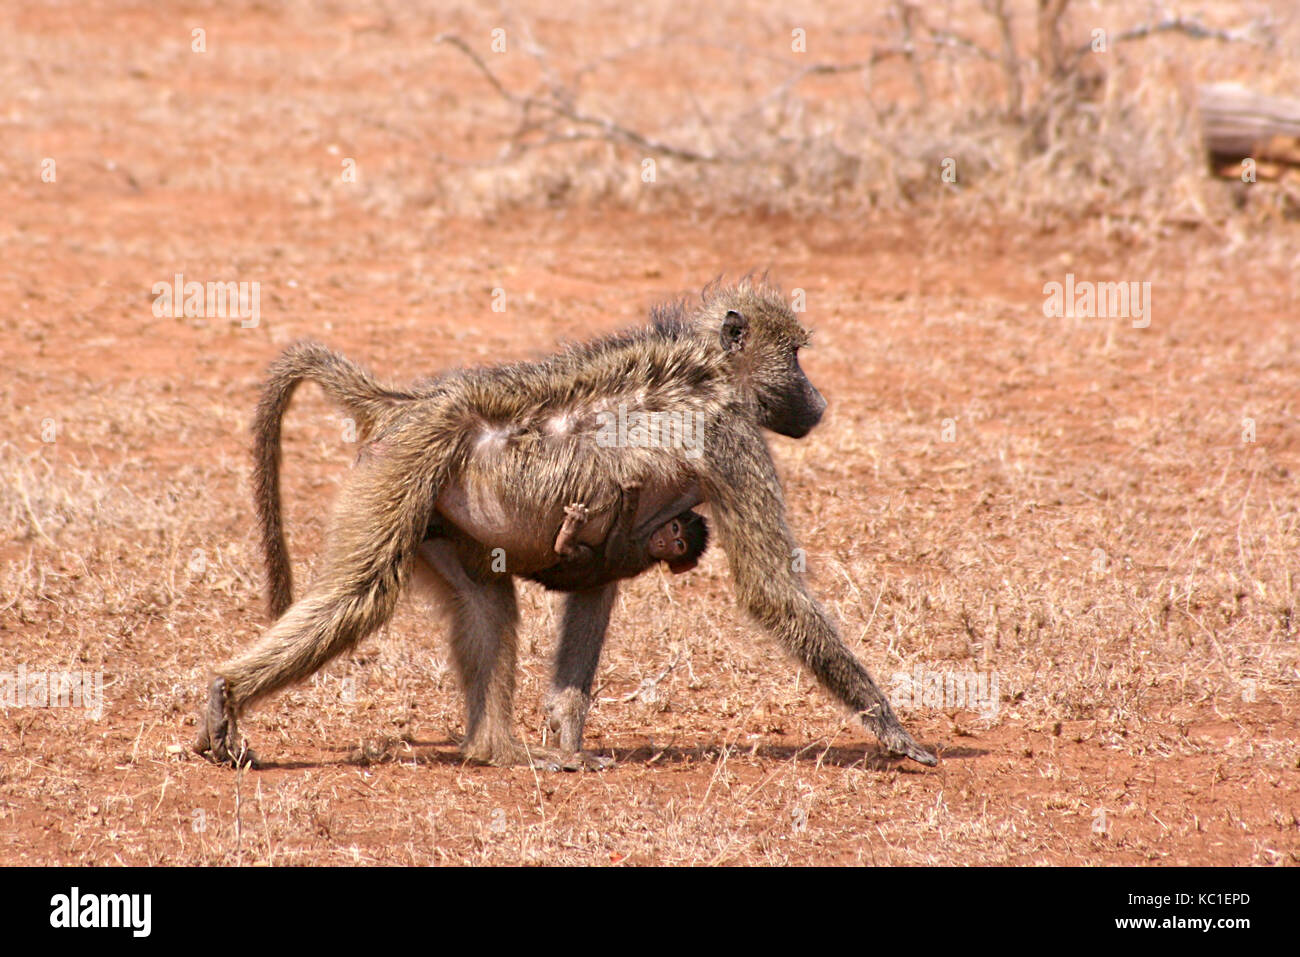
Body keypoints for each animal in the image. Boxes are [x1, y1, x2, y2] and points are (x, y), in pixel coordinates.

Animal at [194, 279, 937, 770]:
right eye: (798, 357)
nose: (819, 402)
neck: (711, 374)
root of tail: (410, 401)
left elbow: (594, 591)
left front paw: (568, 737)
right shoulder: (732, 437)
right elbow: (771, 589)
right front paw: (893, 730)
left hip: (437, 513)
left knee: (488, 607)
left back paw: (500, 750)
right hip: (409, 464)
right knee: (361, 594)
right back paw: (226, 692)